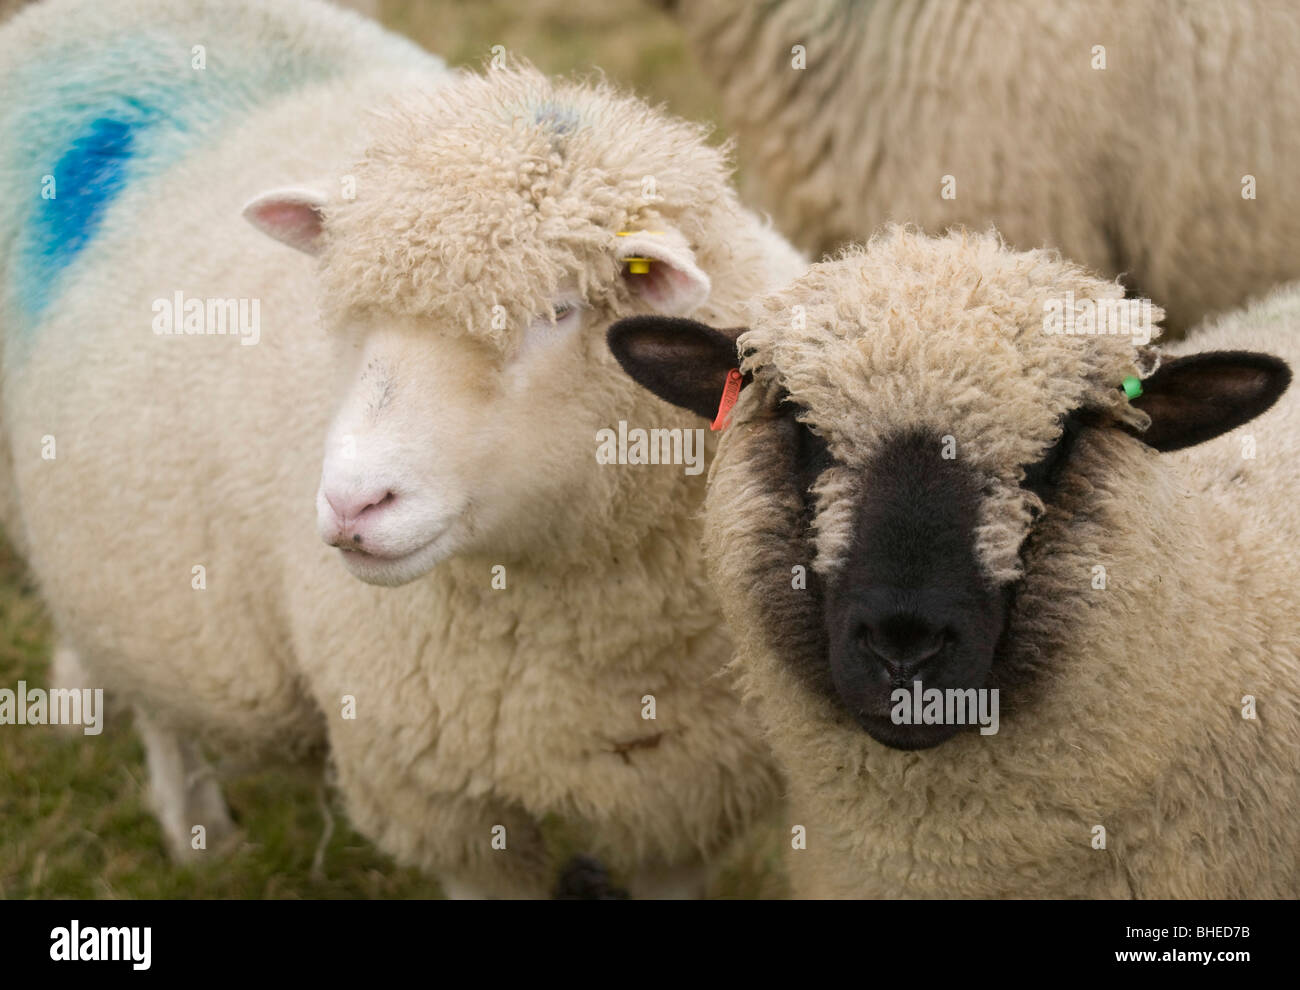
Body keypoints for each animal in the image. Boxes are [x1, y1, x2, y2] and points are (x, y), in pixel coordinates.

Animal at [0, 0, 804, 896]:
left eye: (558, 311)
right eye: (352, 309)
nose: (354, 502)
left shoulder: (686, 798)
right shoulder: (444, 803)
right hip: (120, 559)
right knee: (158, 703)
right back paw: (195, 828)